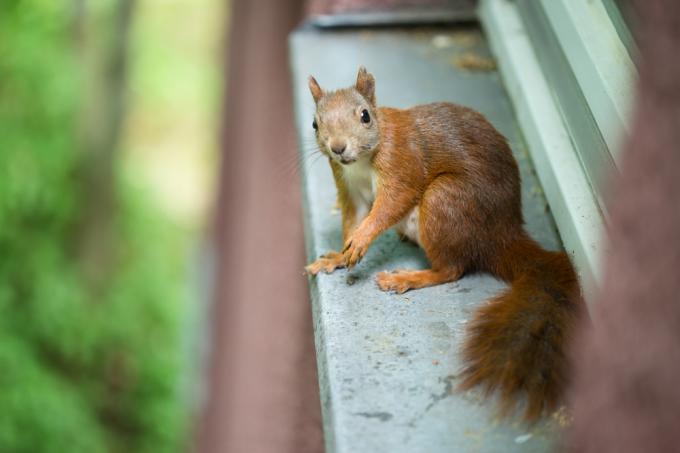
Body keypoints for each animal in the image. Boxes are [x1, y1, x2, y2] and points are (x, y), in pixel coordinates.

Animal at [304, 67, 584, 420]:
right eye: (315, 123)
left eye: (365, 116)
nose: (338, 148)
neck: (363, 161)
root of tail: (504, 236)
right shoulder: (348, 186)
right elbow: (353, 218)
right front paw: (338, 257)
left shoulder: (402, 163)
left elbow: (392, 203)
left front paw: (363, 238)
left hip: (445, 199)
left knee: (452, 269)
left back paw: (410, 277)